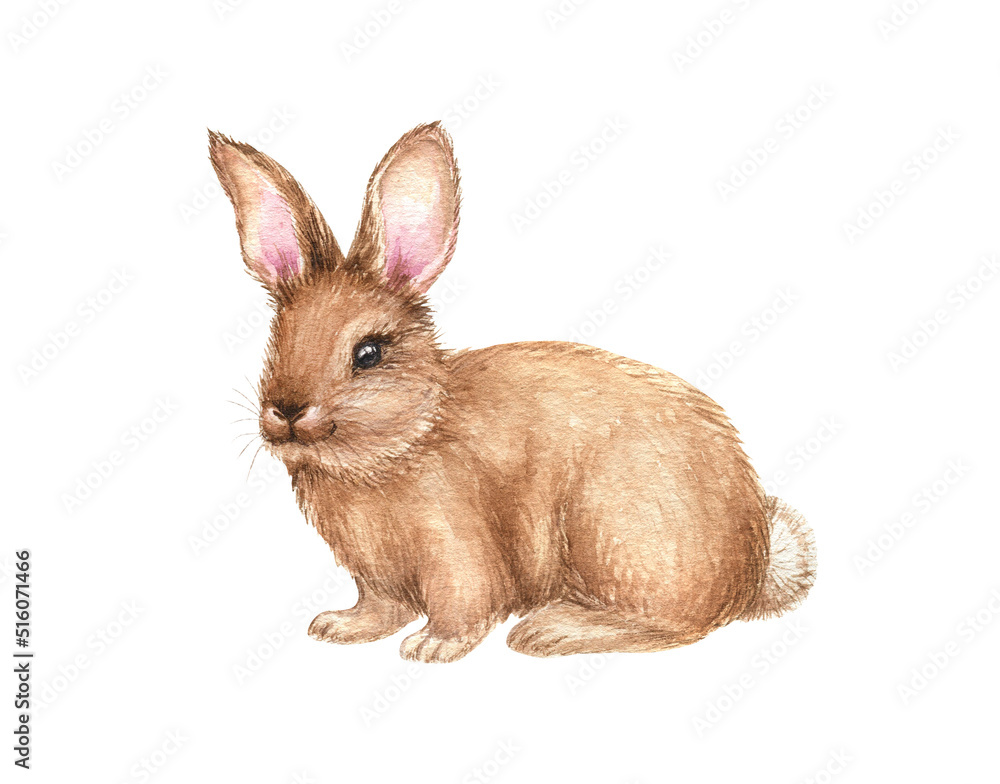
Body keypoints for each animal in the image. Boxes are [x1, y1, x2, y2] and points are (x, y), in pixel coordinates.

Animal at [209, 122, 816, 663]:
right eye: (276, 340)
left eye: (369, 353)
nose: (286, 411)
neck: (405, 441)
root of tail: (750, 570)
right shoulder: (374, 572)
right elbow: (380, 607)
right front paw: (339, 627)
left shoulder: (457, 547)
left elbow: (462, 604)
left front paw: (431, 648)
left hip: (614, 530)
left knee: (675, 626)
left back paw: (553, 630)